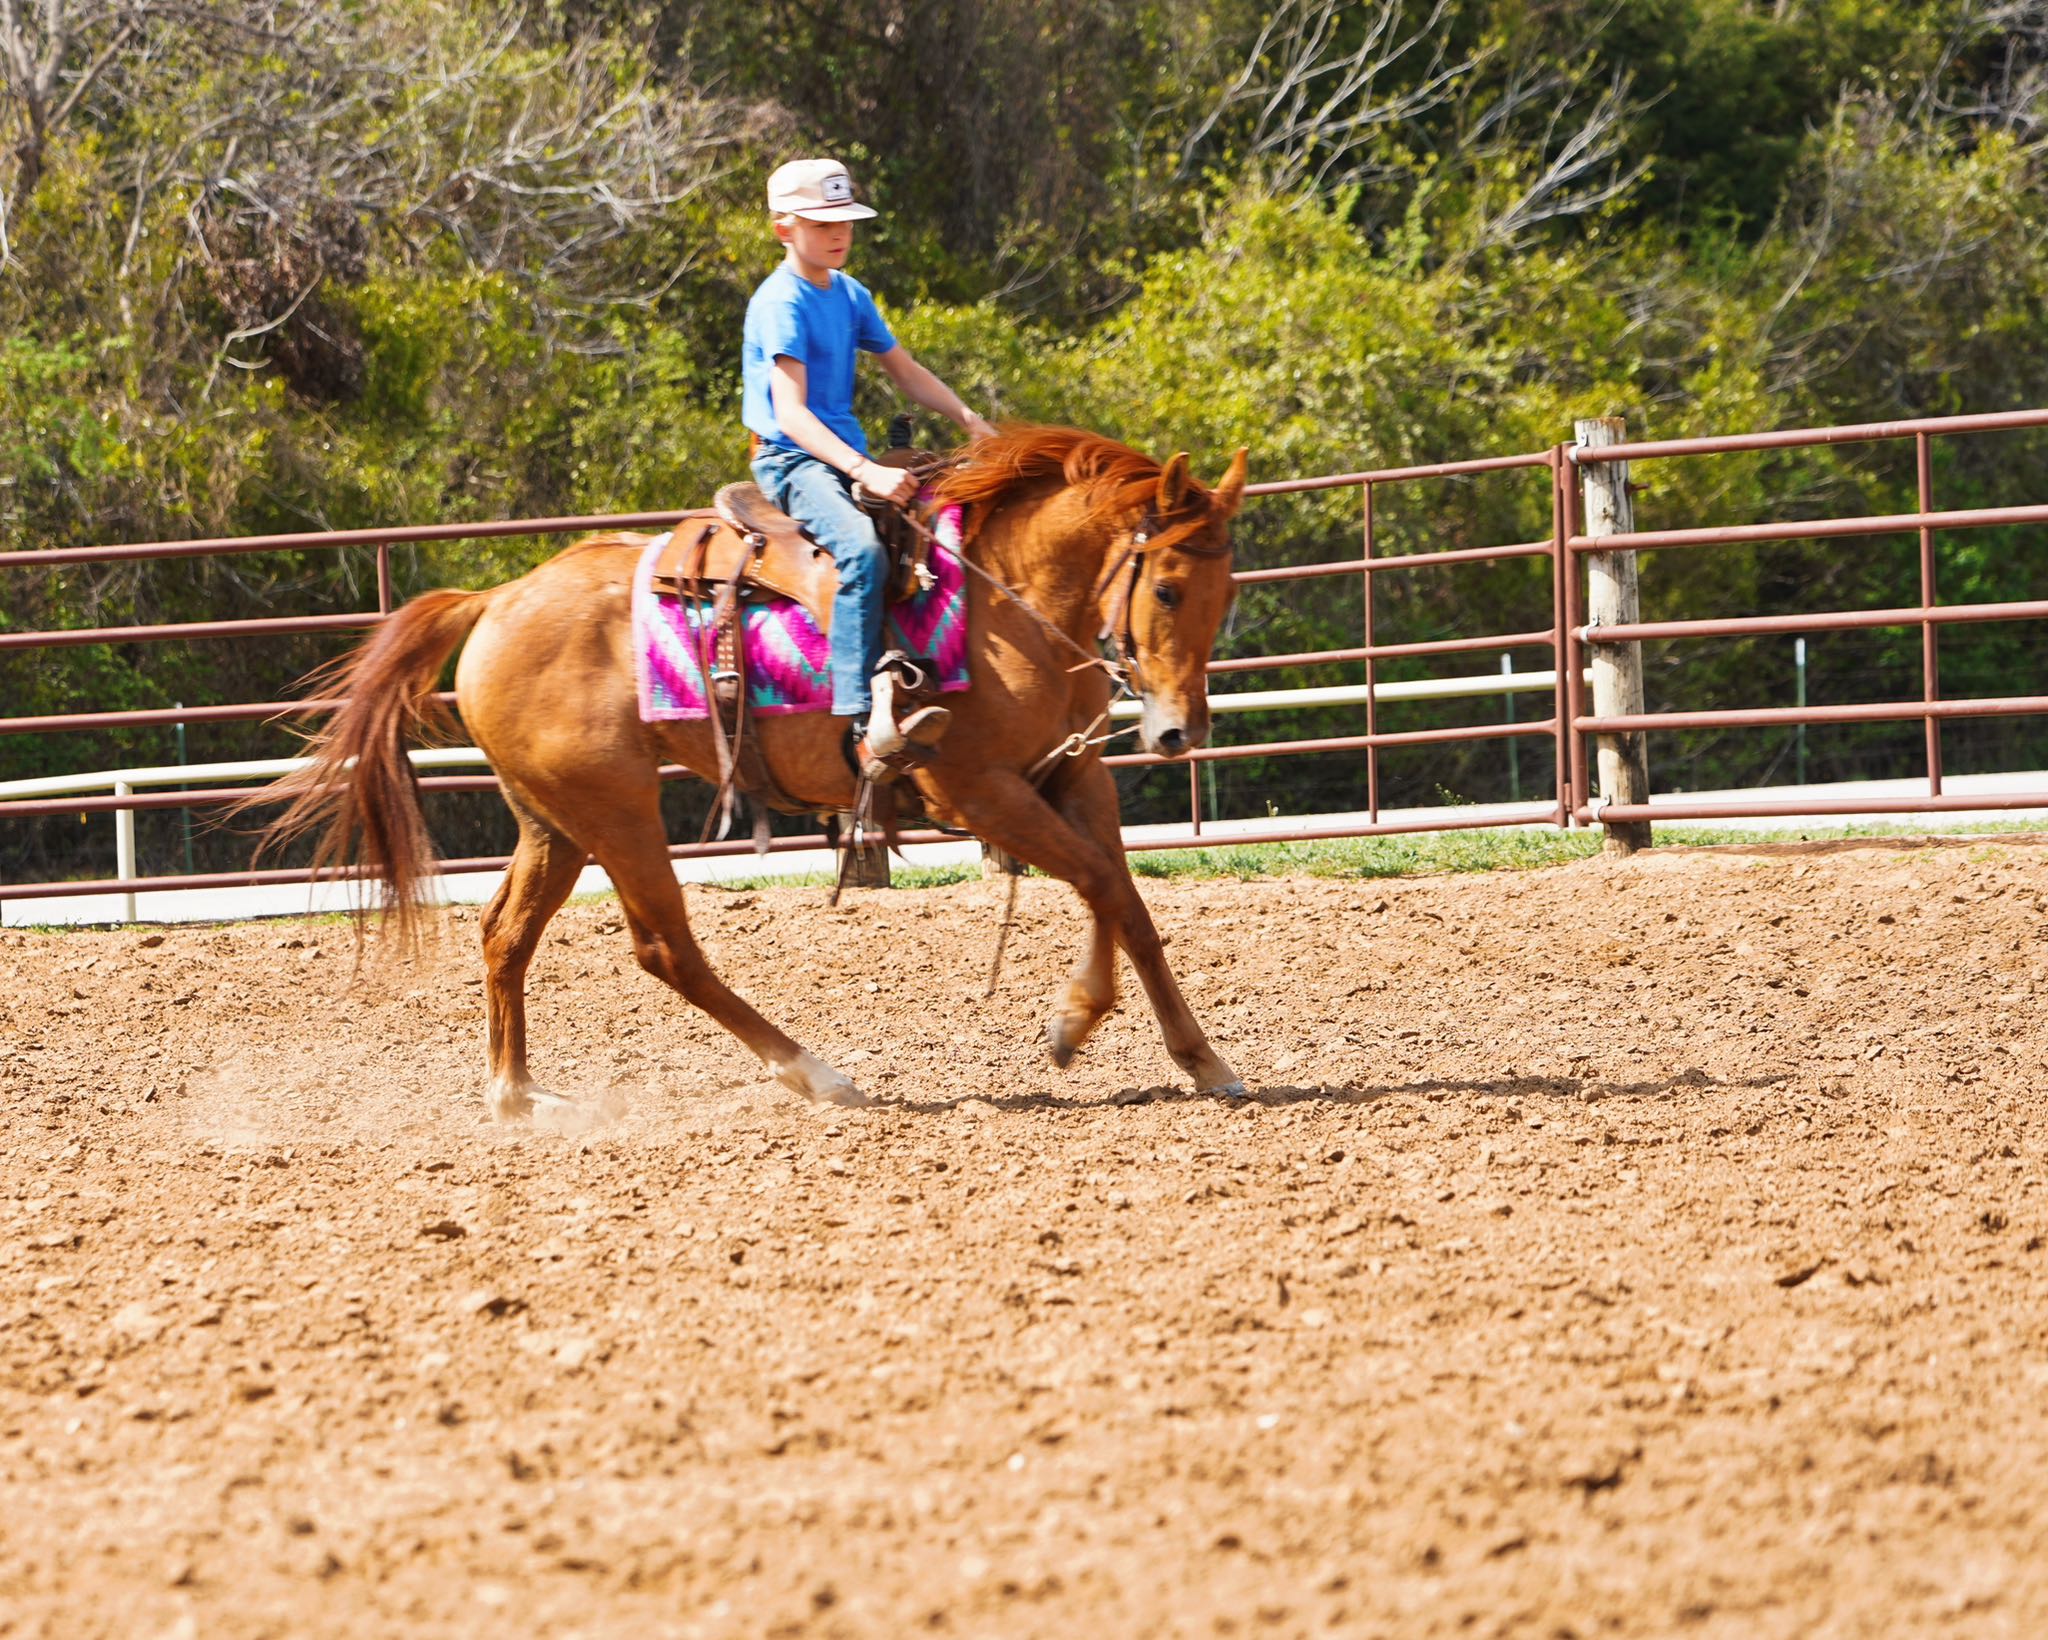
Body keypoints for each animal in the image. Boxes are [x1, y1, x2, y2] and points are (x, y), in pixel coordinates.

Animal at [255, 425, 1250, 1117]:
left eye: (1224, 590)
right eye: (1166, 587)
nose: (1177, 732)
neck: (1002, 599)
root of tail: (498, 598)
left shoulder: (1071, 776)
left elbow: (1124, 897)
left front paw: (1199, 1058)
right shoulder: (980, 790)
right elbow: (1095, 881)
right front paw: (1077, 1020)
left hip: (554, 822)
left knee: (505, 934)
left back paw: (518, 1097)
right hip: (616, 810)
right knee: (665, 948)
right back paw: (819, 1074)